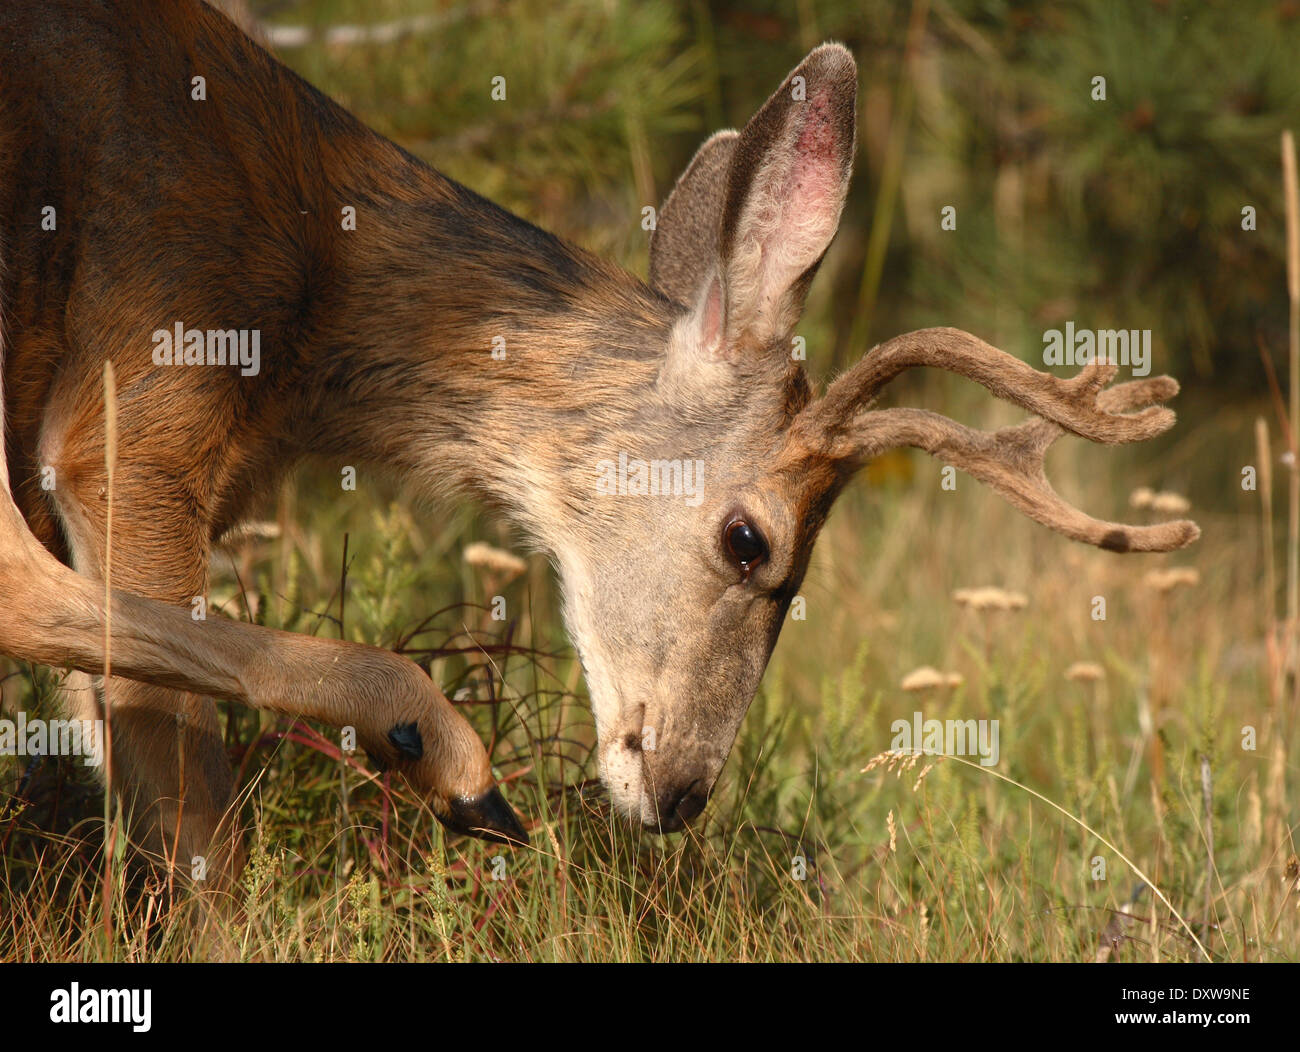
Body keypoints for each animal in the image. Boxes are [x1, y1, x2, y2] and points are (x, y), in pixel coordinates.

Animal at [0, 0, 1198, 885]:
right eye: (751, 541)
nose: (680, 794)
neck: (319, 269)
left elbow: (117, 743)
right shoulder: (141, 406)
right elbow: (189, 797)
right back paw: (450, 757)